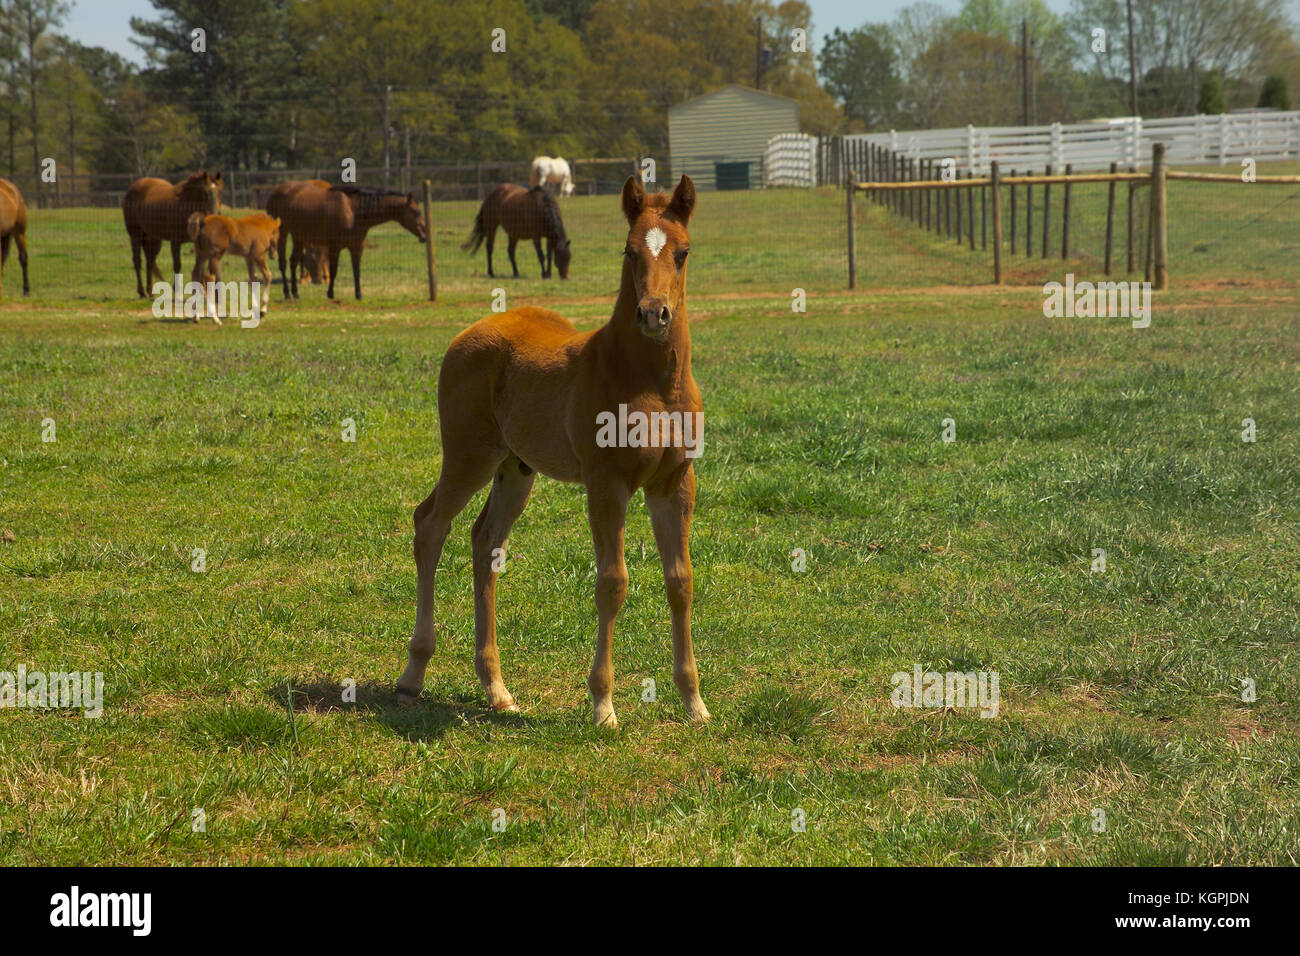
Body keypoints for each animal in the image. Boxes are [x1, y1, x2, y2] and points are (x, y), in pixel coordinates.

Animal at [265, 183, 426, 300]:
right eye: (416, 212)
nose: (424, 234)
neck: (354, 211)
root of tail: (274, 192)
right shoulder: (334, 247)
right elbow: (334, 270)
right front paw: (330, 293)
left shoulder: (356, 247)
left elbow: (356, 271)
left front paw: (359, 295)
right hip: (282, 233)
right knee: (283, 263)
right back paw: (287, 293)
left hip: (298, 236)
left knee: (293, 261)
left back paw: (295, 292)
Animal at [398, 175, 707, 729]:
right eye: (629, 251)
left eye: (683, 252)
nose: (654, 314)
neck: (652, 384)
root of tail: (470, 331)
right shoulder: (608, 483)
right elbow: (613, 582)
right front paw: (603, 705)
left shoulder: (674, 484)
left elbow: (681, 582)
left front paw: (694, 702)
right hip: (469, 456)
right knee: (430, 524)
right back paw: (413, 675)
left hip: (515, 469)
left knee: (485, 540)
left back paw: (496, 688)